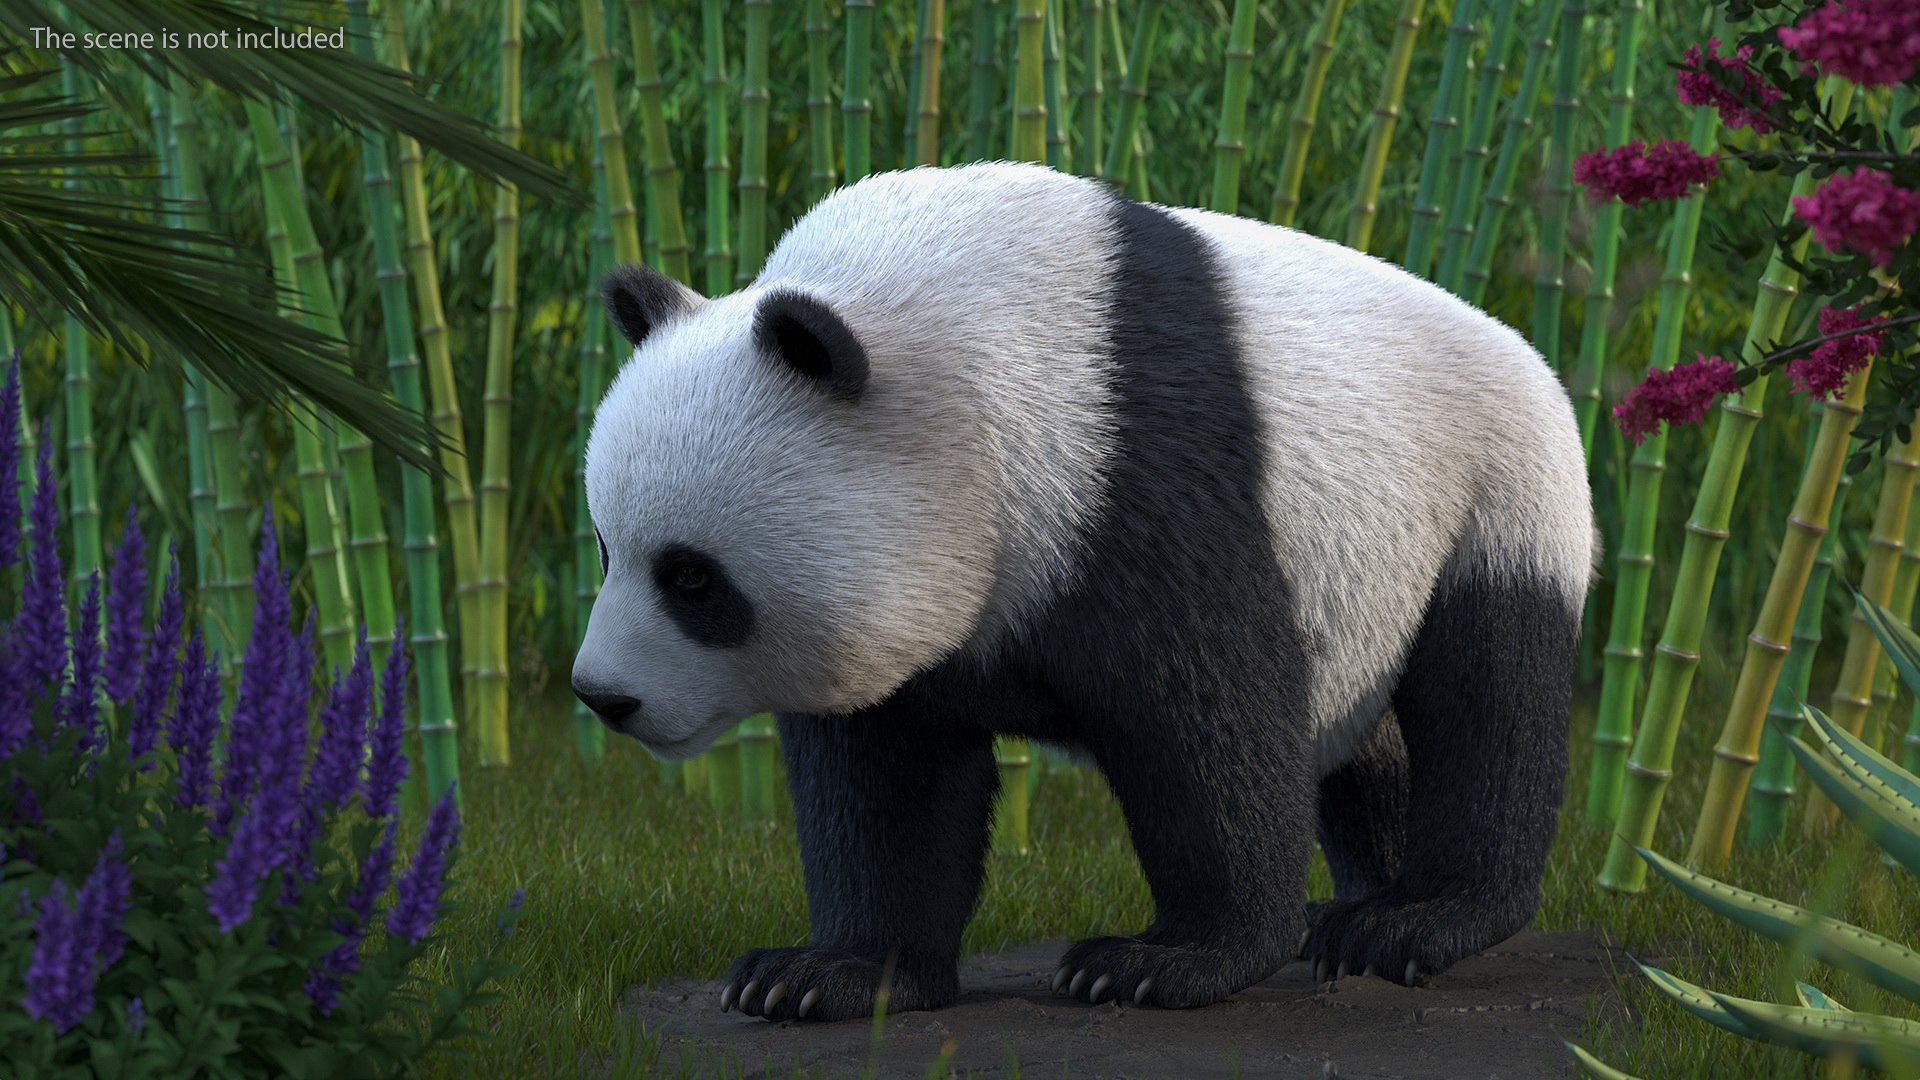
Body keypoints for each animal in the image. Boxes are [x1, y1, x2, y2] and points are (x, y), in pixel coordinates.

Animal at [573, 161, 1593, 1022]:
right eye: (605, 548)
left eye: (692, 579)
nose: (602, 697)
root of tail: (1528, 353)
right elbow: (885, 777)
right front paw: (825, 976)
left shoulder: (1133, 461)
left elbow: (1207, 718)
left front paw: (1164, 961)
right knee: (1371, 746)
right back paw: (1360, 905)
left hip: (1491, 497)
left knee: (1489, 699)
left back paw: (1414, 919)